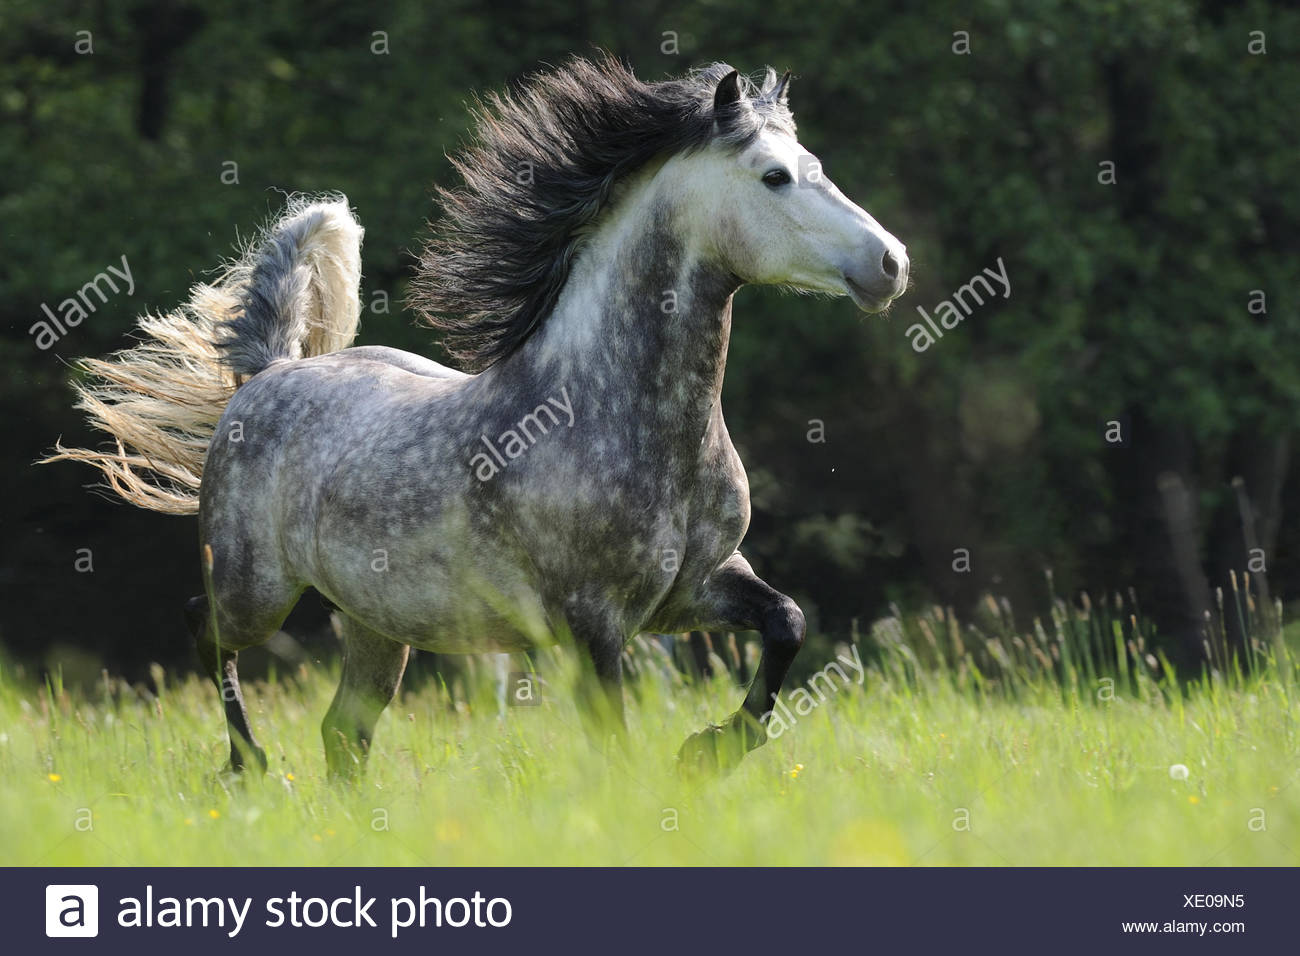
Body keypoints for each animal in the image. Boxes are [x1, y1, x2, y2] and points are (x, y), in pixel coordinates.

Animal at [47, 54, 908, 777]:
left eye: (817, 167)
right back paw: (249, 767)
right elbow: (616, 742)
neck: (618, 415)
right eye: (774, 176)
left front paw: (709, 749)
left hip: (376, 621)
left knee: (344, 733)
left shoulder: (699, 586)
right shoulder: (590, 623)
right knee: (206, 627)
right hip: (255, 587)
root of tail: (269, 372)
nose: (892, 262)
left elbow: (788, 622)